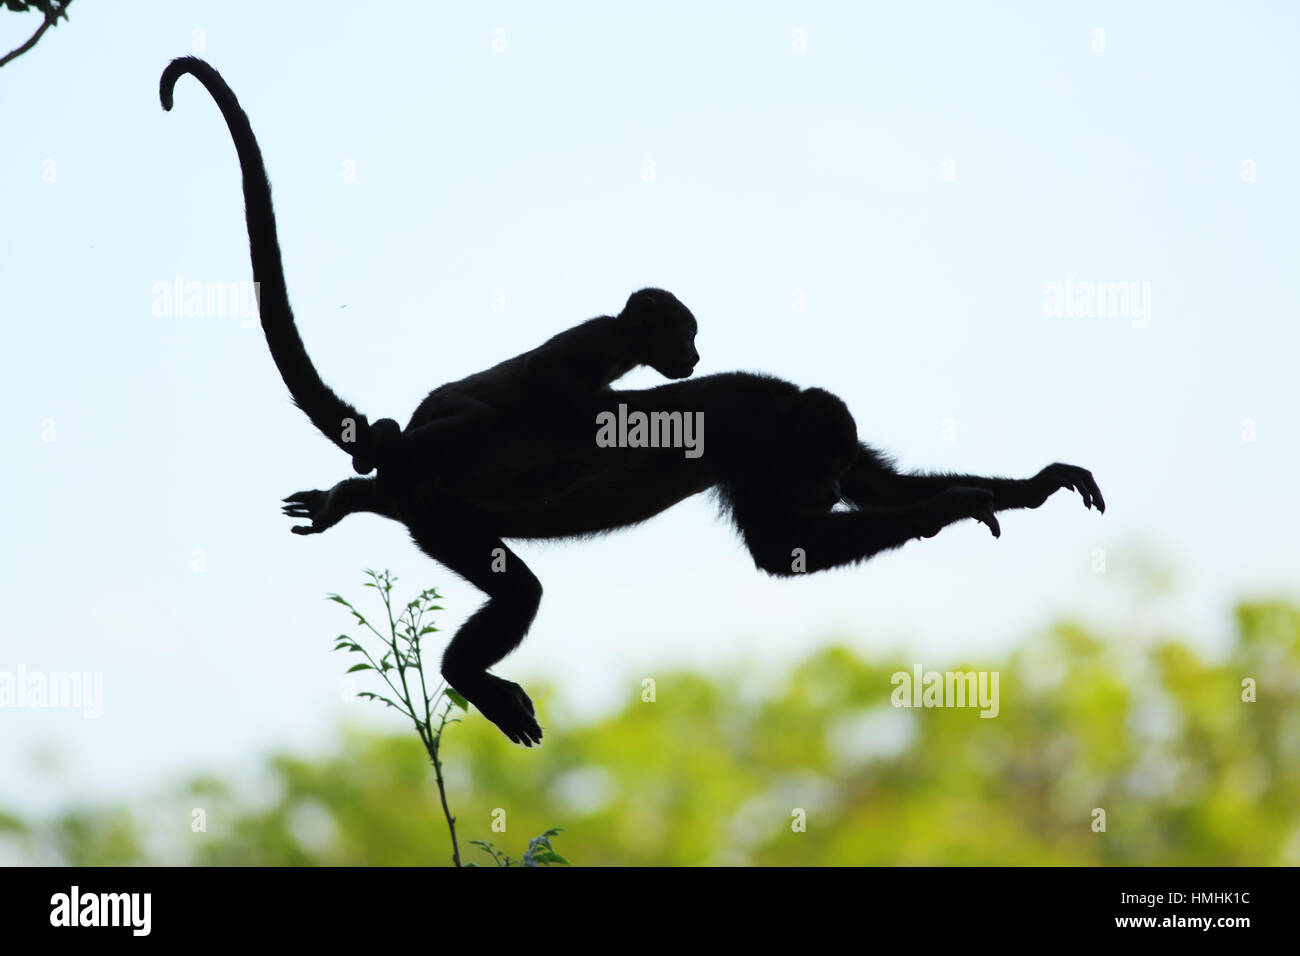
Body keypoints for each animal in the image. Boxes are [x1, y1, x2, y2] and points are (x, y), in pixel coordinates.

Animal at [161, 57, 1105, 747]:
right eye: (813, 462)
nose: (824, 481)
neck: (777, 417)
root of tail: (403, 468)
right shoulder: (752, 443)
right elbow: (784, 550)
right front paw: (949, 508)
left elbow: (879, 490)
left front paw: (1028, 485)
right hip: (441, 511)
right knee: (518, 590)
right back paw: (463, 666)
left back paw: (349, 497)